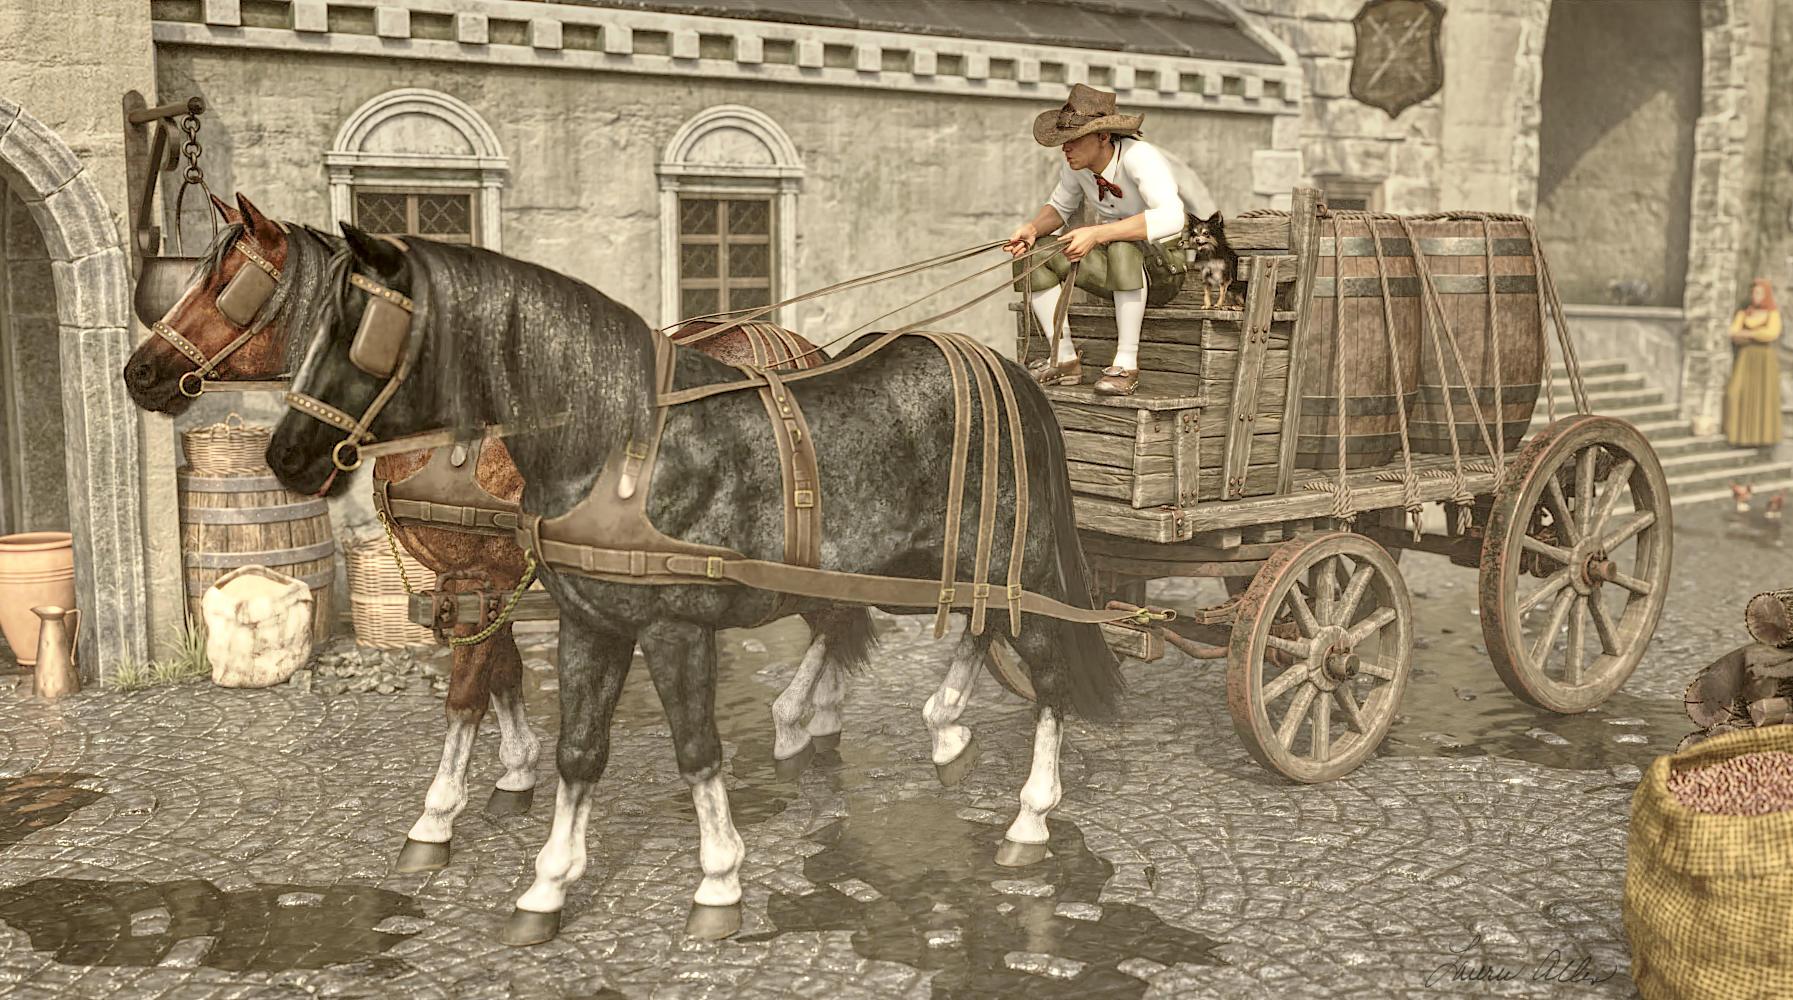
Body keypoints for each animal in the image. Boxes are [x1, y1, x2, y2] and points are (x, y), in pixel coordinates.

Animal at [119, 193, 906, 876]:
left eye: (227, 285)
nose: (139, 372)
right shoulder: (479, 580)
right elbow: (503, 672)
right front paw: (517, 774)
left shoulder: (481, 574)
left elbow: (468, 691)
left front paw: (436, 818)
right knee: (833, 618)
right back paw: (813, 717)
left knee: (832, 614)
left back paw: (799, 719)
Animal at [263, 225, 1125, 945]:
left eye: (357, 331)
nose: (284, 456)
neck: (619, 448)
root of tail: (1004, 368)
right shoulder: (588, 620)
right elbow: (579, 751)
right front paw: (546, 887)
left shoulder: (673, 627)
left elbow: (696, 750)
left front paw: (718, 880)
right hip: (918, 565)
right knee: (974, 628)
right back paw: (936, 726)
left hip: (1014, 558)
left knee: (1045, 671)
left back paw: (1028, 818)